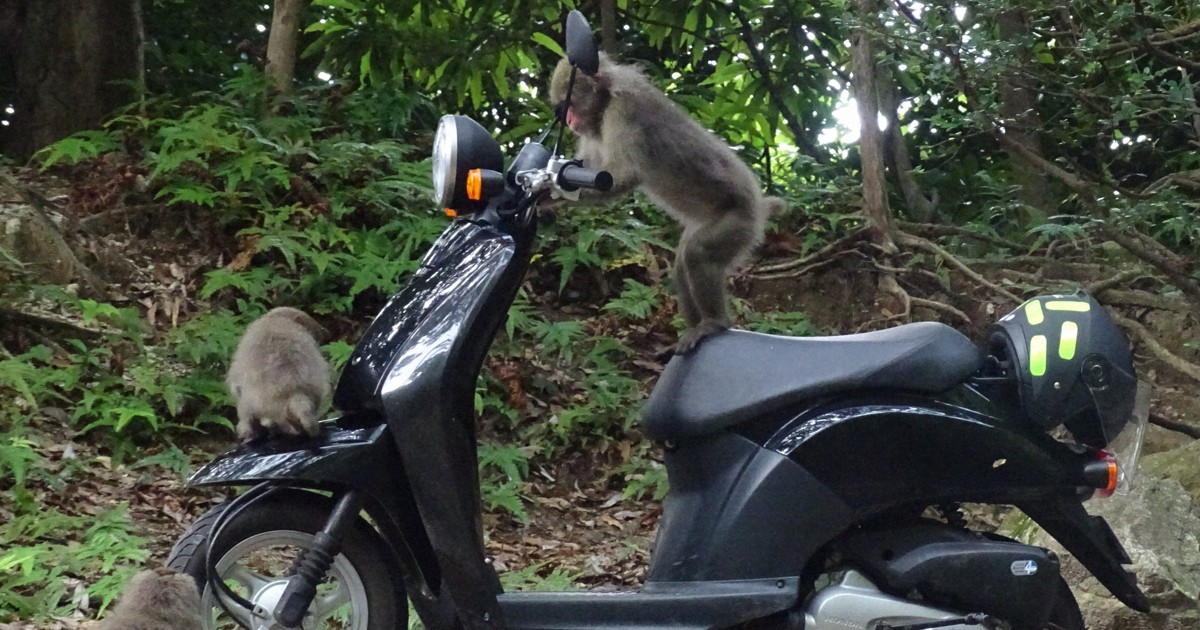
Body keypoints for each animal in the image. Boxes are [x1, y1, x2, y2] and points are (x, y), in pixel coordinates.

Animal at [226, 306, 330, 443]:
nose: (325, 332)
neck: (275, 318)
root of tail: (296, 389)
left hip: (252, 401)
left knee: (250, 416)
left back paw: (250, 433)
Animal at [549, 53, 785, 354]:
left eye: (570, 105)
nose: (568, 120)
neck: (606, 100)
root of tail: (759, 205)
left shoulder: (623, 112)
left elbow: (619, 177)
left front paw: (544, 192)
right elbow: (588, 167)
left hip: (739, 224)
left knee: (697, 254)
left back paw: (715, 323)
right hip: (706, 223)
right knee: (683, 262)